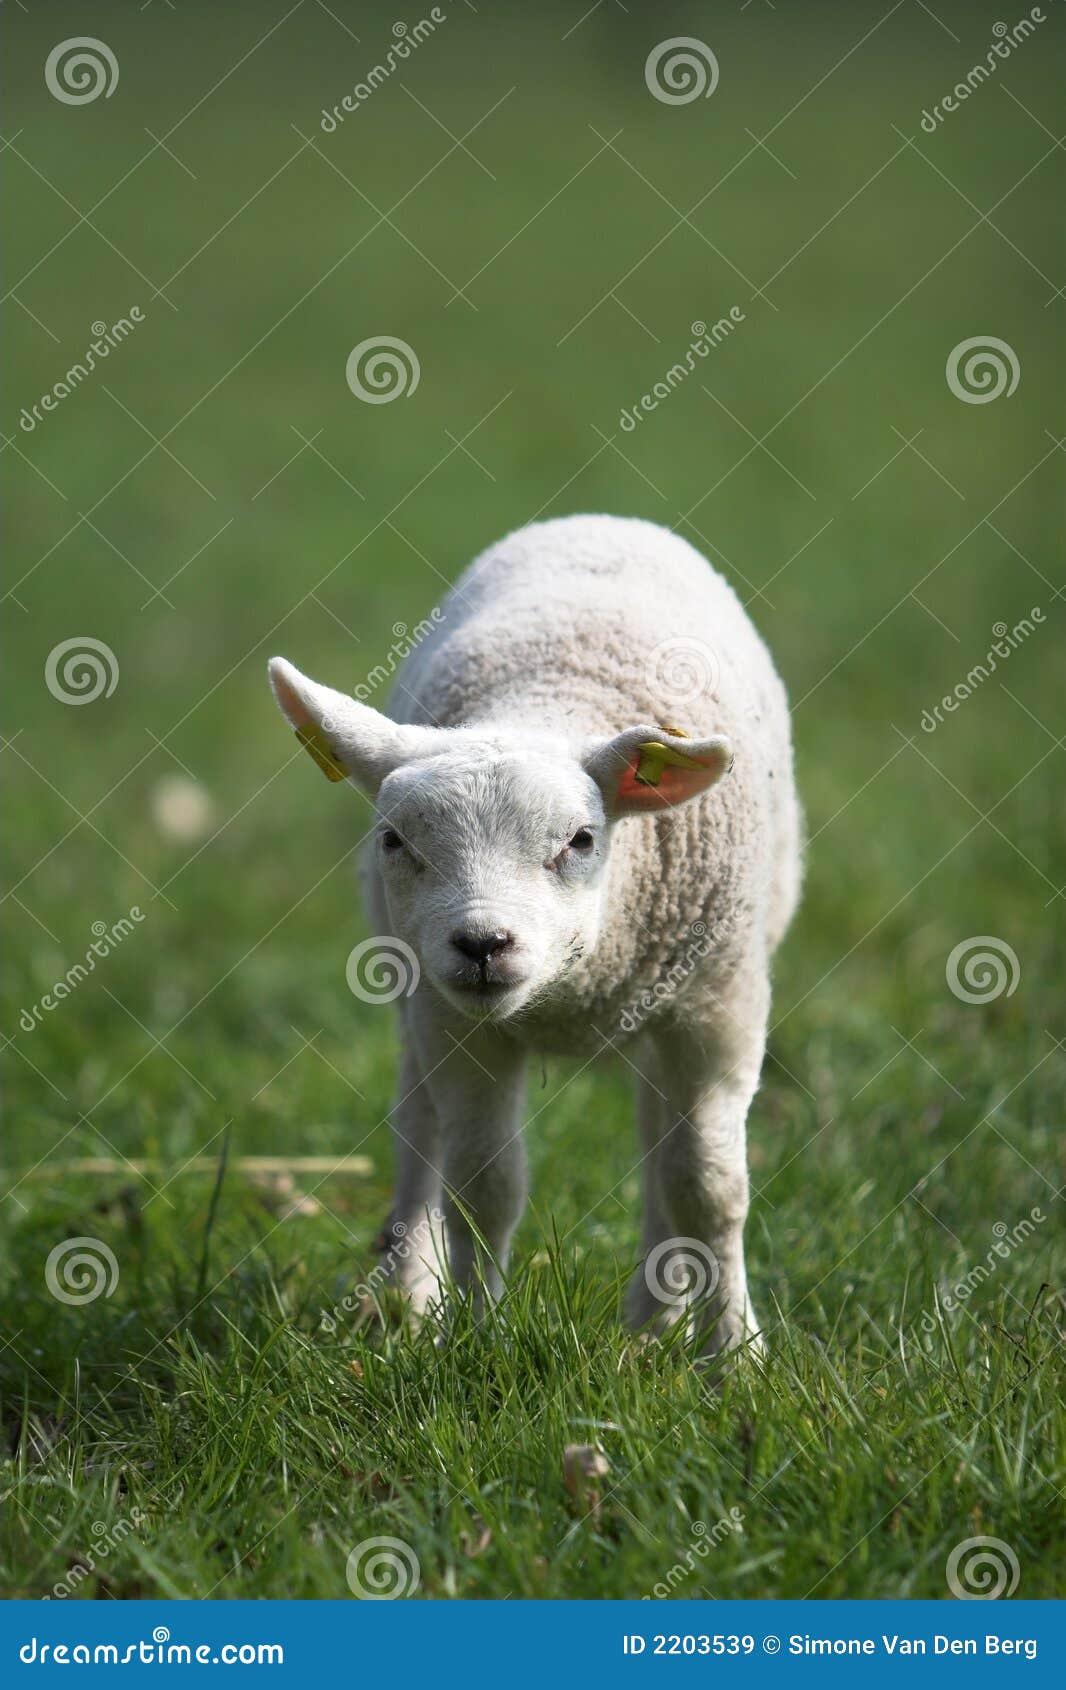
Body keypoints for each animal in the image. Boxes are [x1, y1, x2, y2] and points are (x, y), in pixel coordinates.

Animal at [268, 513, 802, 1354]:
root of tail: (598, 519)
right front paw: (472, 1340)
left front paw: (735, 1355)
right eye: (394, 840)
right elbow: (484, 1187)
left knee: (661, 1144)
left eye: (581, 840)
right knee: (418, 1131)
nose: (483, 945)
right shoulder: (457, 1023)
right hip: (418, 998)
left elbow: (708, 1189)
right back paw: (407, 1301)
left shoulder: (720, 1004)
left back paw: (652, 1325)